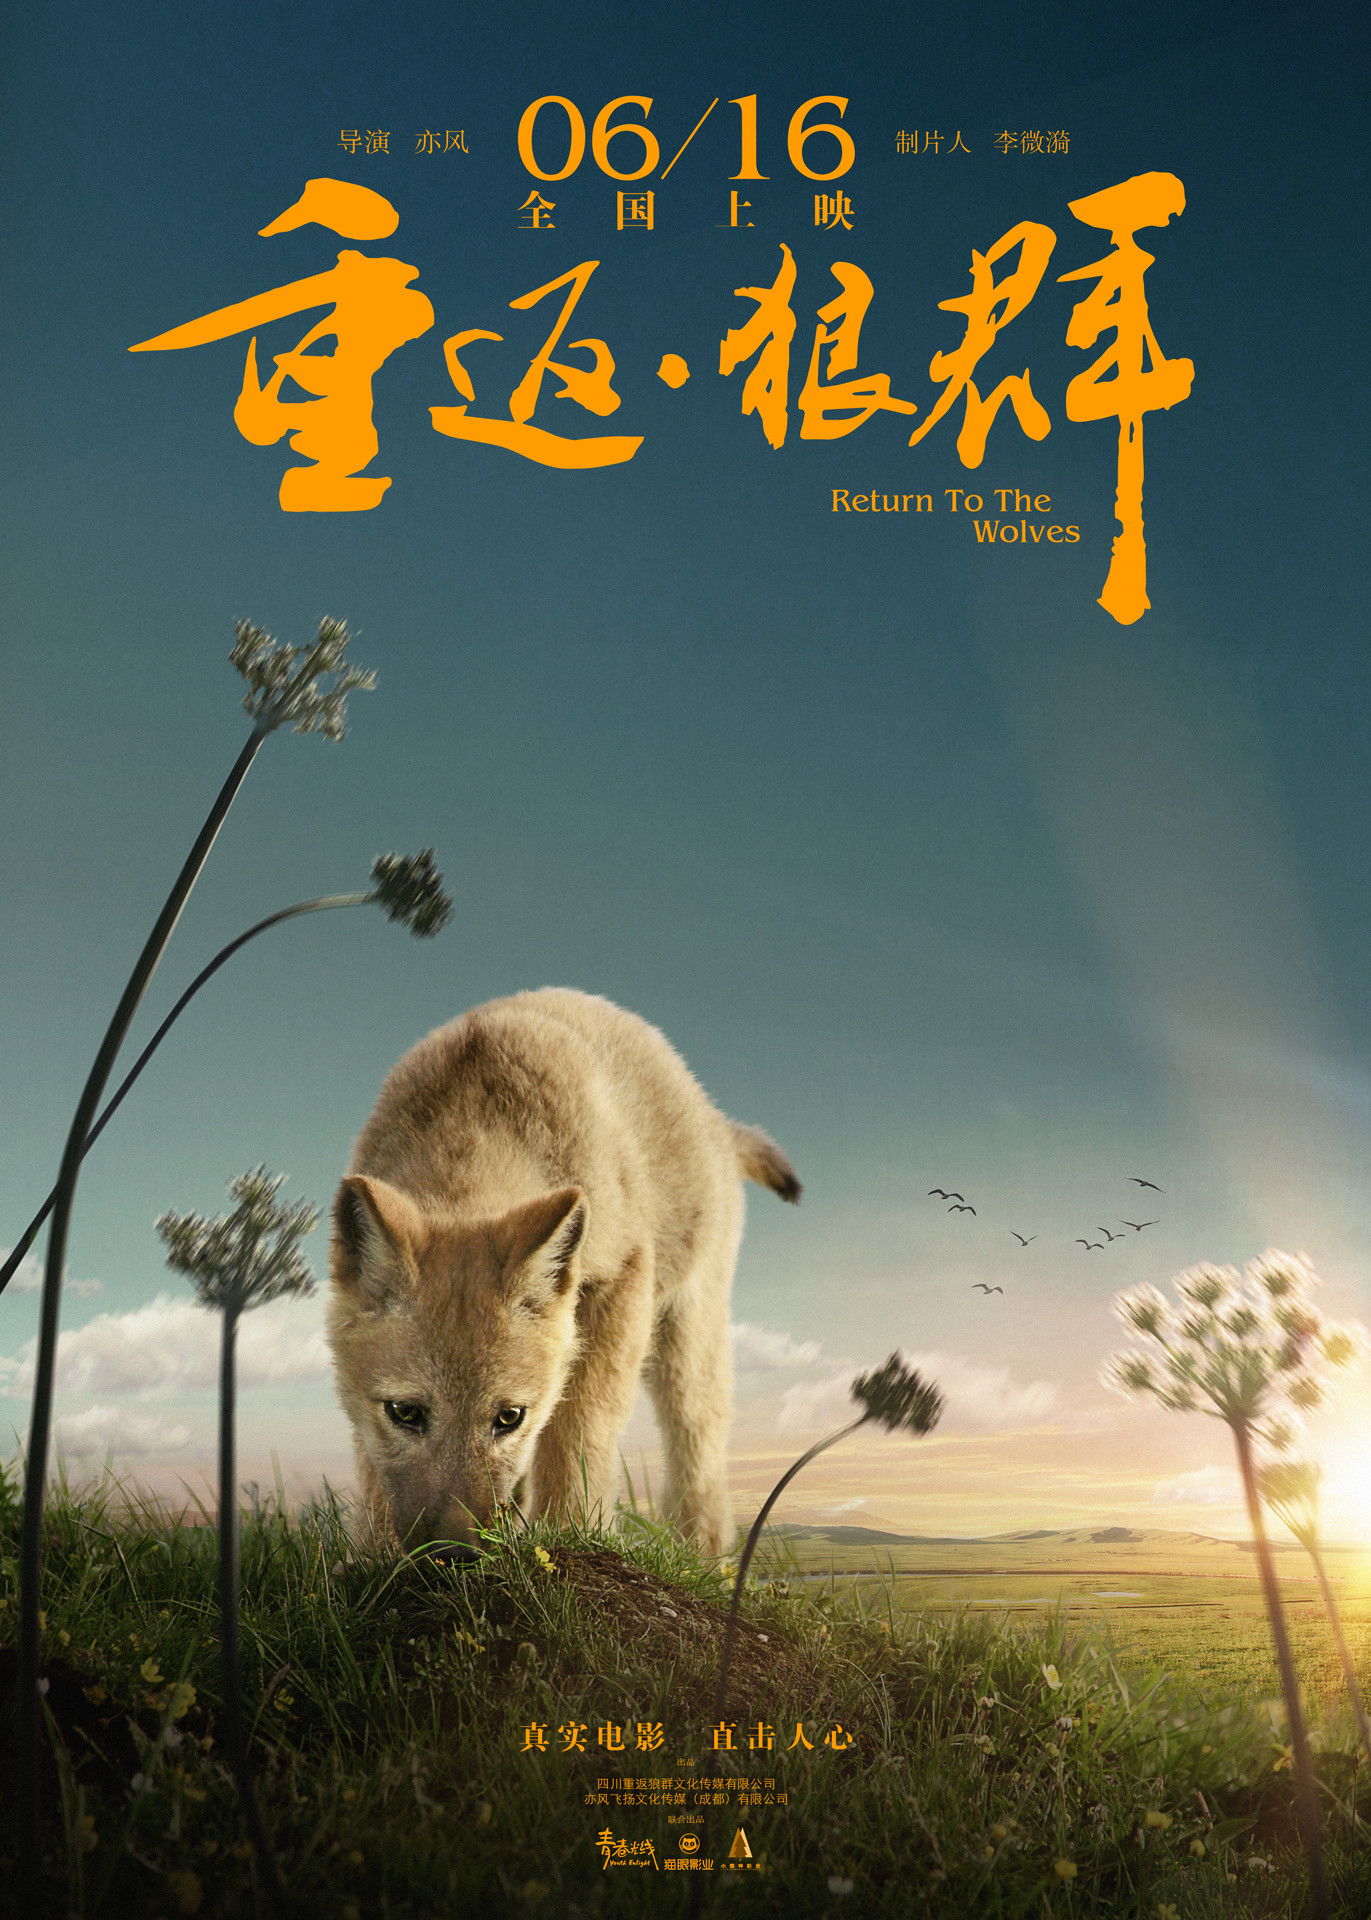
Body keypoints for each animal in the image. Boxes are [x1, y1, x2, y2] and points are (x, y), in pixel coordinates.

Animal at [327, 988, 799, 1558]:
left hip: (684, 1340)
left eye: (509, 1418)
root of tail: (716, 1122)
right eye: (404, 1412)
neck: (481, 1116)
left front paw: (568, 1532)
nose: (456, 1553)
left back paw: (701, 1555)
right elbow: (368, 1459)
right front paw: (371, 1556)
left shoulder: (621, 1280)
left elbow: (579, 1427)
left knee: (698, 1444)